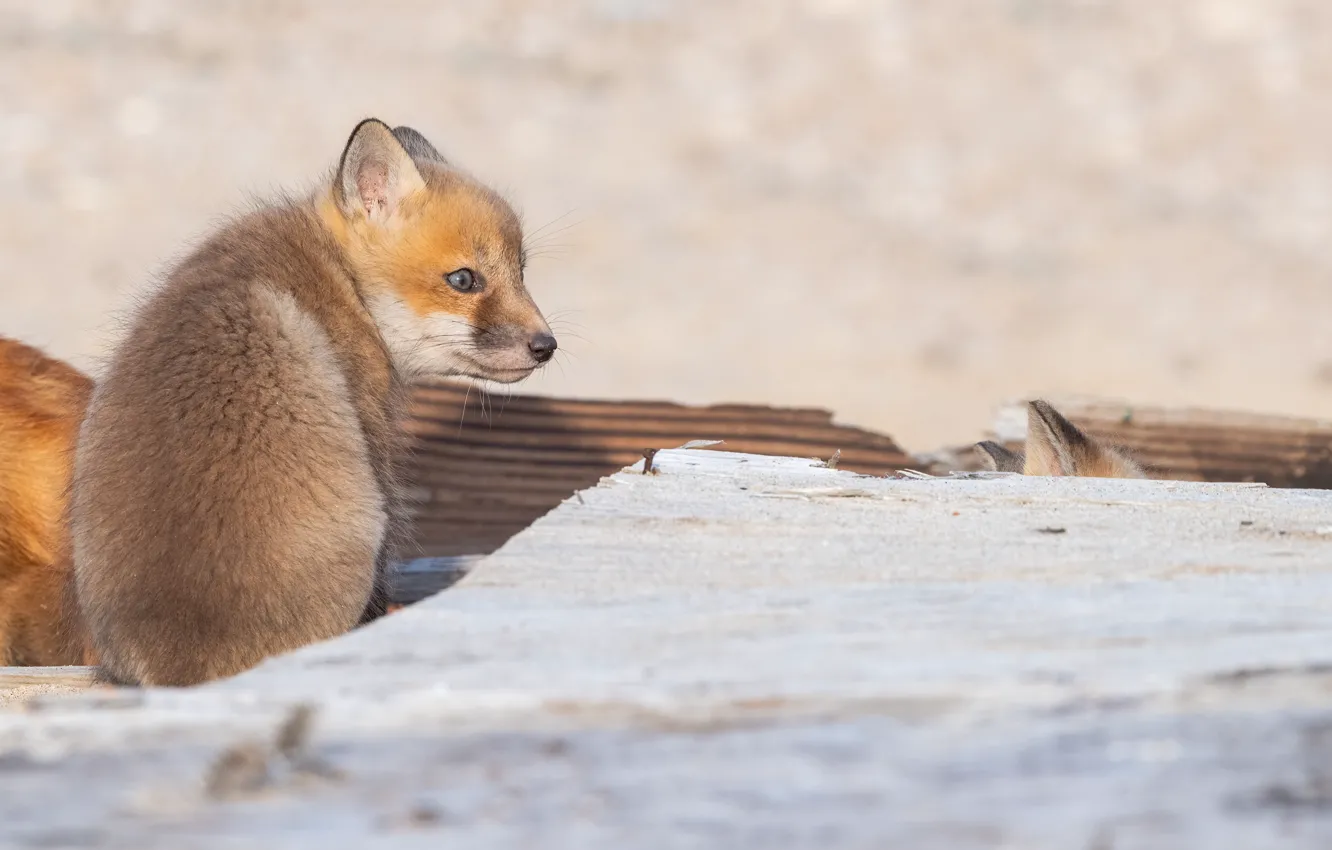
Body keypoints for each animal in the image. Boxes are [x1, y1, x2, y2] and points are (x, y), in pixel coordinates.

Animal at [71, 119, 557, 686]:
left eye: (520, 273)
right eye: (463, 279)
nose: (546, 345)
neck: (342, 278)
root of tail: (180, 668)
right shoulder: (374, 441)